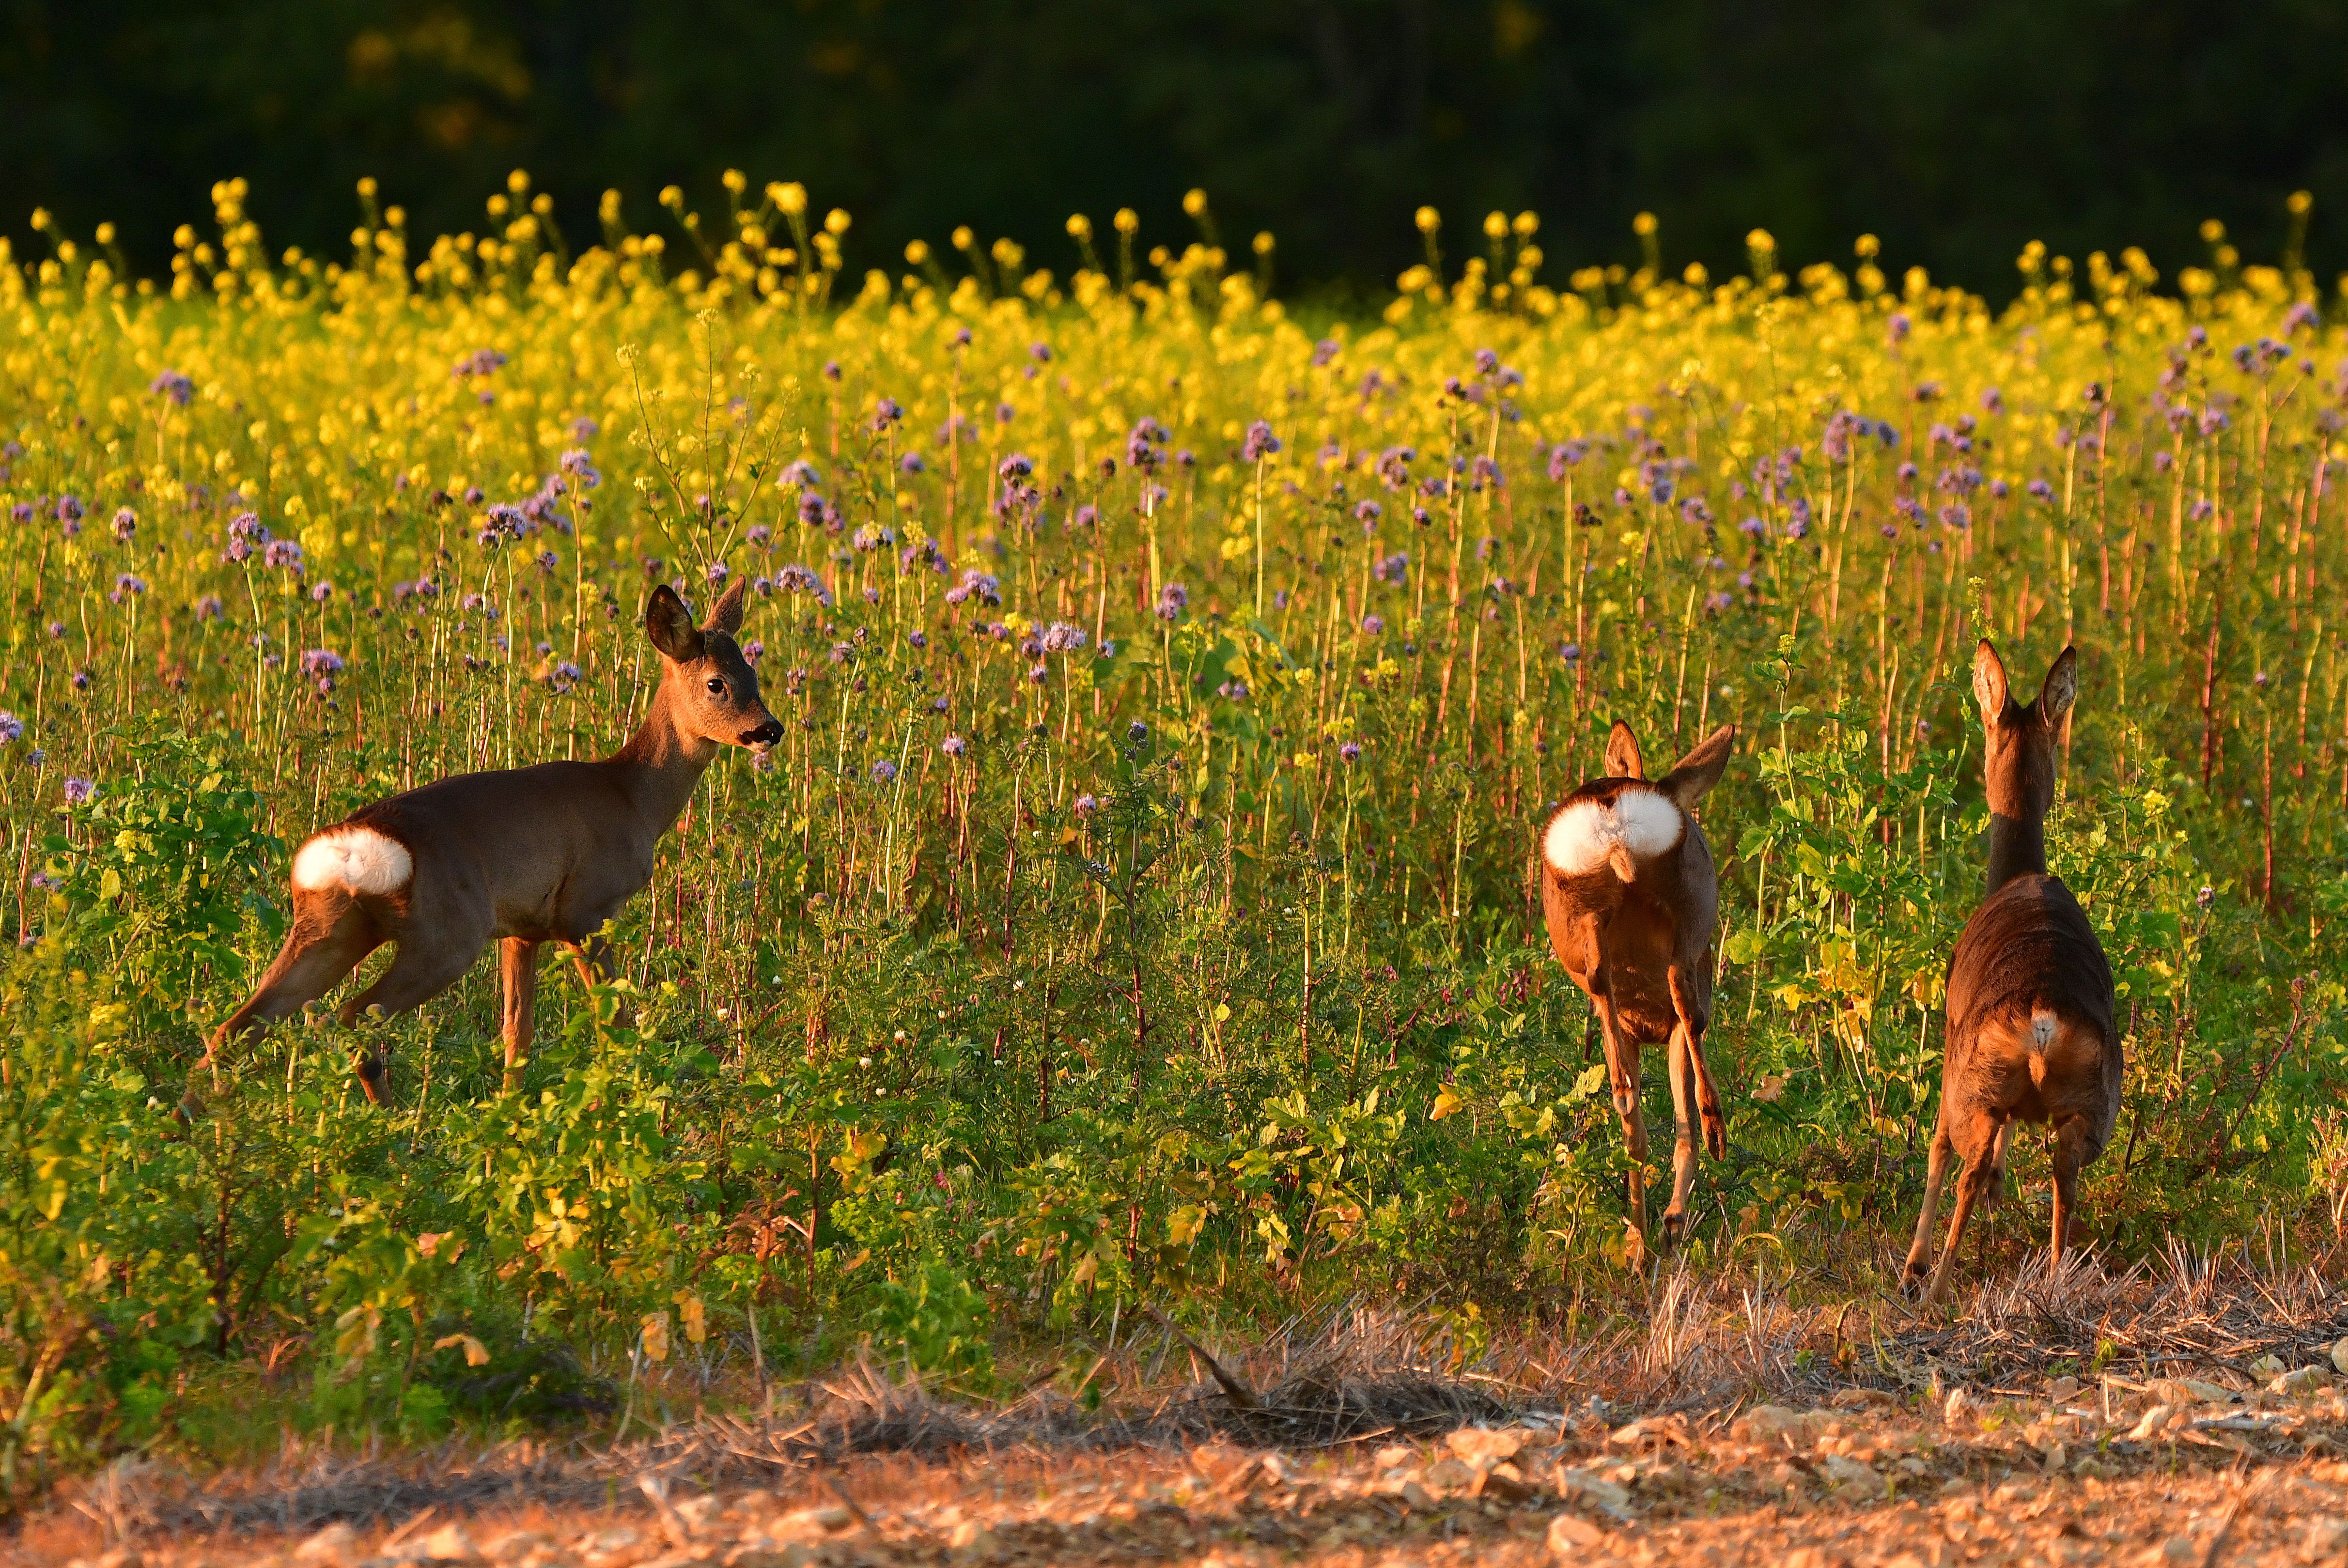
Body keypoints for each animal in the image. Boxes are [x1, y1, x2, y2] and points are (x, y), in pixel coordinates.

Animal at [203, 579, 782, 1103]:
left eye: (753, 672)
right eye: (716, 683)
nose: (769, 730)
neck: (632, 797)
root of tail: (351, 845)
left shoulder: (522, 928)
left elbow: (516, 1033)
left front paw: (510, 1114)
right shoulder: (585, 909)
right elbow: (613, 1019)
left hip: (330, 925)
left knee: (235, 1029)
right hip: (447, 932)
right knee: (352, 1017)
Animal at [1535, 720, 1737, 1263]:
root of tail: (1614, 831)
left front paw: (1650, 1230)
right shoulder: (1667, 1029)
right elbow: (1681, 1120)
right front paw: (1672, 1220)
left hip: (1582, 918)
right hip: (1690, 914)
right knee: (1685, 1003)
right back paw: (1712, 1134)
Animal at [1903, 641, 2118, 1307]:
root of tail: (2043, 1019)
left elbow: (1935, 1149)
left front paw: (1914, 1265)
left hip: (1971, 1079)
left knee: (1958, 1160)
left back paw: (1933, 1280)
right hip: (2092, 1105)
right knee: (2064, 1176)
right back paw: (2052, 1281)